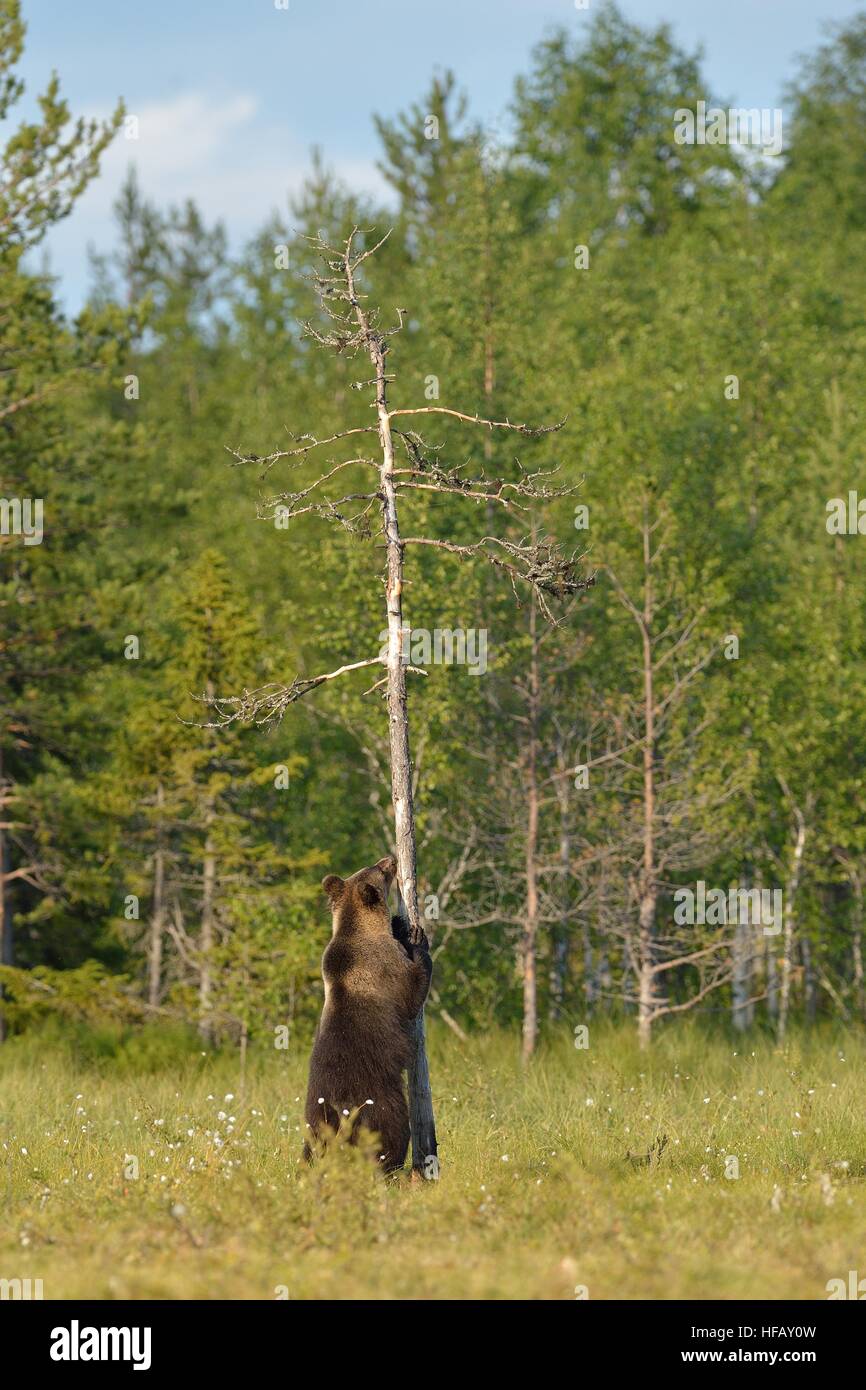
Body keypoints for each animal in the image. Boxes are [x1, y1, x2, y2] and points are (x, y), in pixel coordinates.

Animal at [303, 854, 432, 1172]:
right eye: (381, 870)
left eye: (372, 865)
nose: (390, 858)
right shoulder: (386, 968)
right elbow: (413, 989)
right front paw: (416, 936)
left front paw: (400, 924)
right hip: (377, 1100)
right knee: (393, 1131)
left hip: (316, 1116)